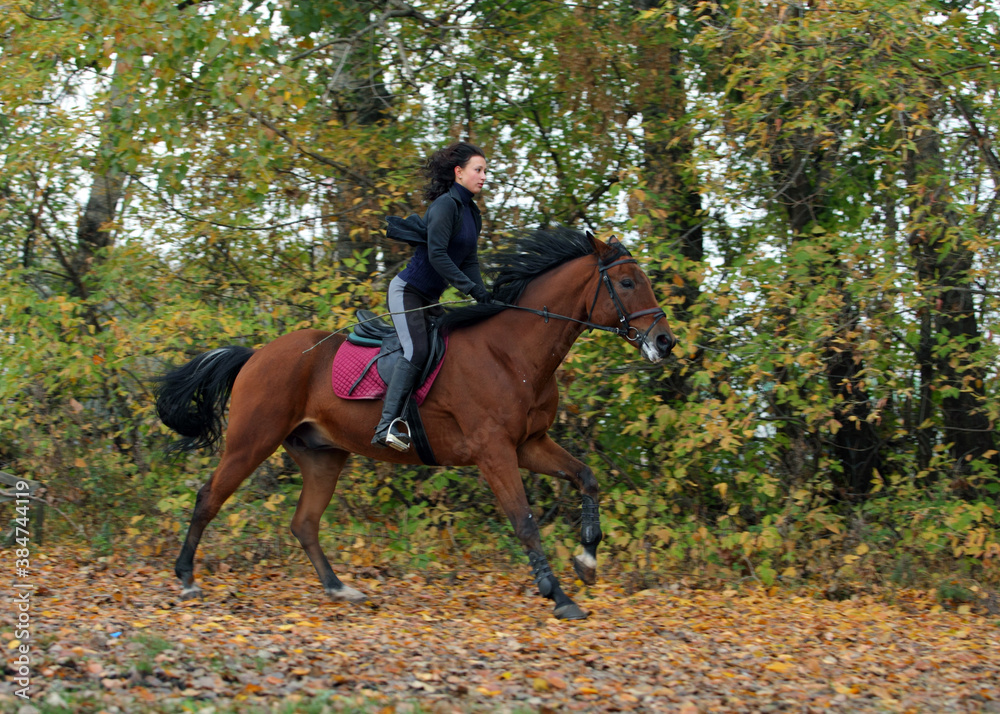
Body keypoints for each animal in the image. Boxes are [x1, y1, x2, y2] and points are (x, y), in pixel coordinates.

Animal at [155, 229, 675, 620]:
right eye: (626, 282)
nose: (665, 341)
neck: (514, 354)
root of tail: (255, 355)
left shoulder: (529, 444)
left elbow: (587, 477)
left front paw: (586, 561)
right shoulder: (494, 452)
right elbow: (525, 522)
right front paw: (560, 596)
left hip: (323, 455)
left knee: (304, 523)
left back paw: (339, 589)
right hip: (252, 441)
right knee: (208, 499)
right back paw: (186, 579)